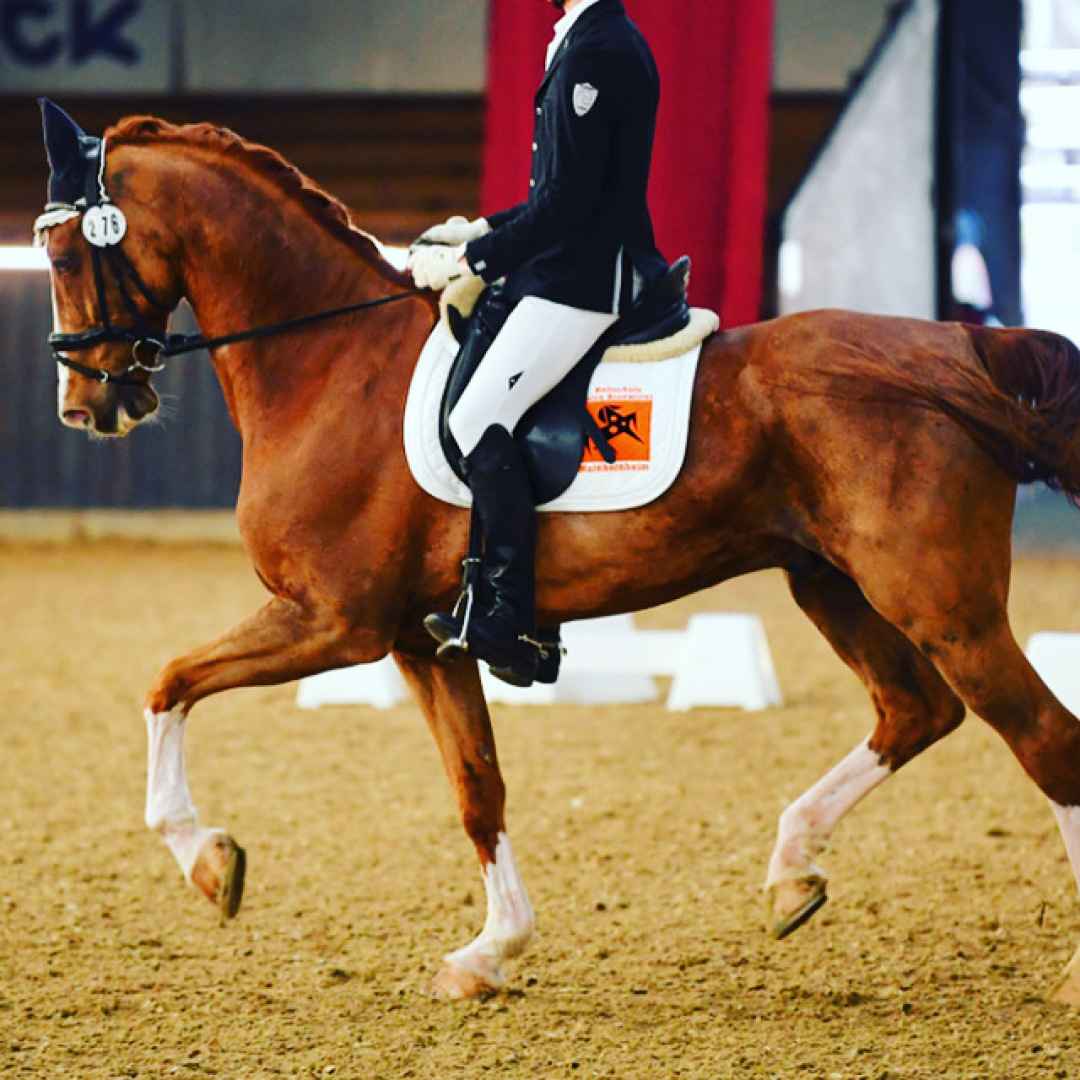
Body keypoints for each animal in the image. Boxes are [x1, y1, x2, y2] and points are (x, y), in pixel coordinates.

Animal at [38, 110, 1080, 1003]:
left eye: (63, 251)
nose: (86, 409)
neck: (331, 360)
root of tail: (959, 345)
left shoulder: (332, 622)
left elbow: (168, 682)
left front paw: (207, 860)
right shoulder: (425, 640)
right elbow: (477, 788)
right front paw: (489, 952)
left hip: (940, 603)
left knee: (1042, 739)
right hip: (832, 585)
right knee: (916, 711)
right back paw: (791, 871)